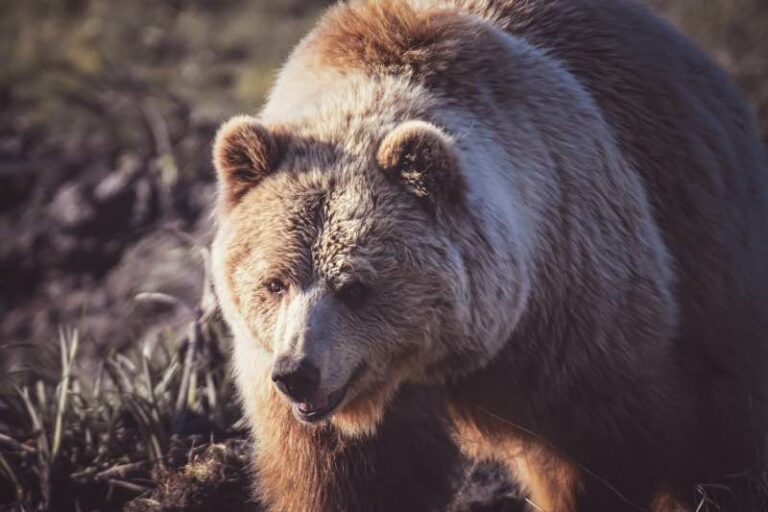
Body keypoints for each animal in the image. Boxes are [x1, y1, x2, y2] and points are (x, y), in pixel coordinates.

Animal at [210, 1, 768, 511]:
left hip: (709, 249)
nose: (297, 373)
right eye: (274, 282)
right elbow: (344, 478)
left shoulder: (576, 315)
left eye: (355, 286)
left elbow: (600, 451)